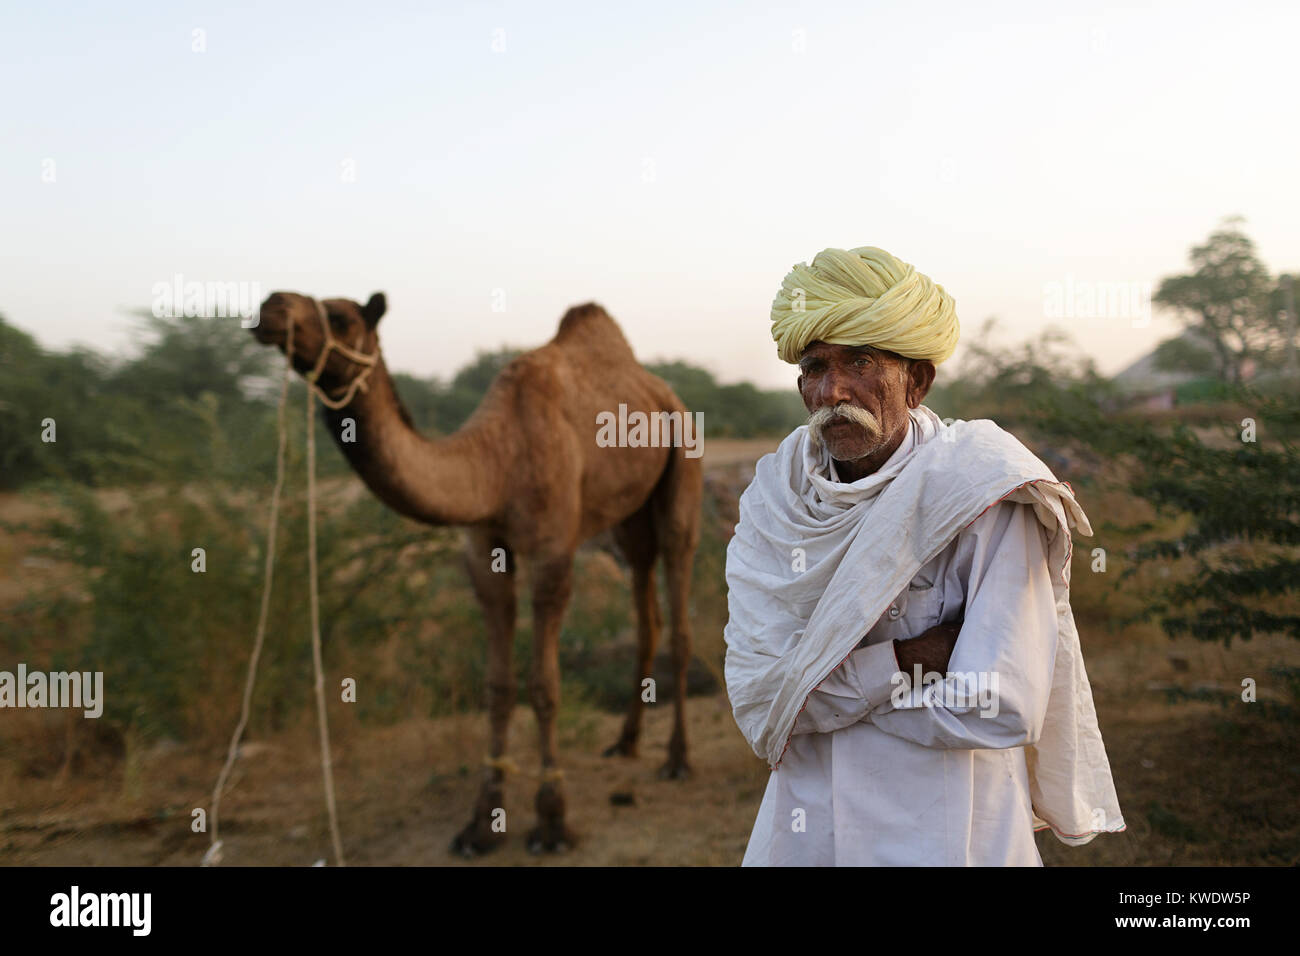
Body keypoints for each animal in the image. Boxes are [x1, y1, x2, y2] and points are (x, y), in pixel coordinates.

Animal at [250, 291, 702, 855]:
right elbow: (497, 686)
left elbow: (544, 686)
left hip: (683, 462)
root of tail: (664, 393)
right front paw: (482, 823)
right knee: (646, 608)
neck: (496, 462)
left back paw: (678, 760)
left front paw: (552, 822)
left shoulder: (551, 550)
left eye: (341, 317)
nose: (271, 308)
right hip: (629, 516)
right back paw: (625, 742)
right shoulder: (484, 548)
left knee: (679, 599)